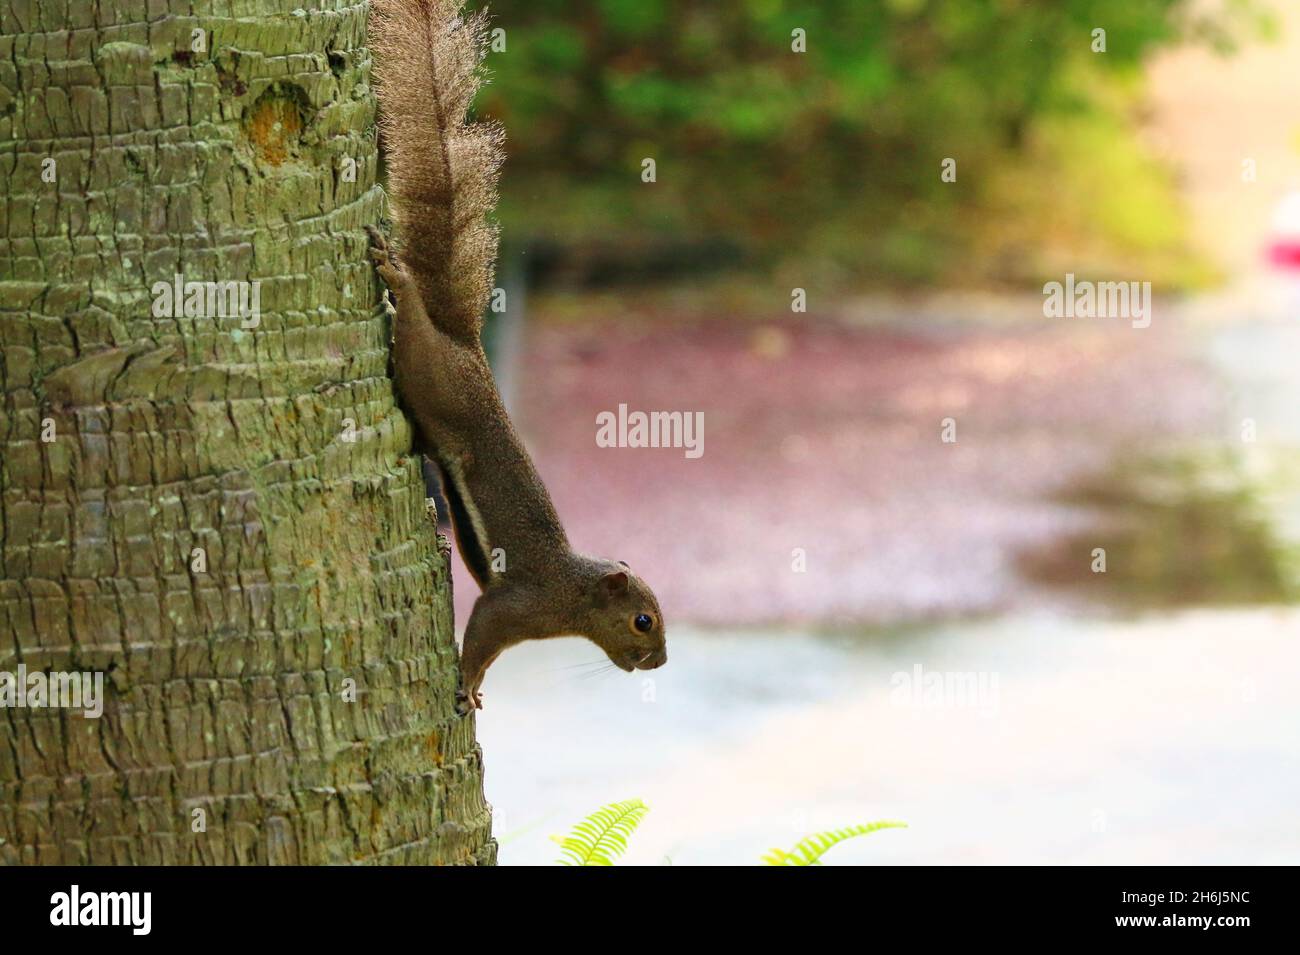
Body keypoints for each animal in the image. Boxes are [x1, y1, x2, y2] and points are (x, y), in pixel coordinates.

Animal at [367, 0, 666, 714]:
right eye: (643, 620)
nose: (662, 662)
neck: (573, 594)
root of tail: (465, 345)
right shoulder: (515, 606)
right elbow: (480, 638)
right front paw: (469, 688)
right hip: (431, 374)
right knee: (412, 334)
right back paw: (401, 284)